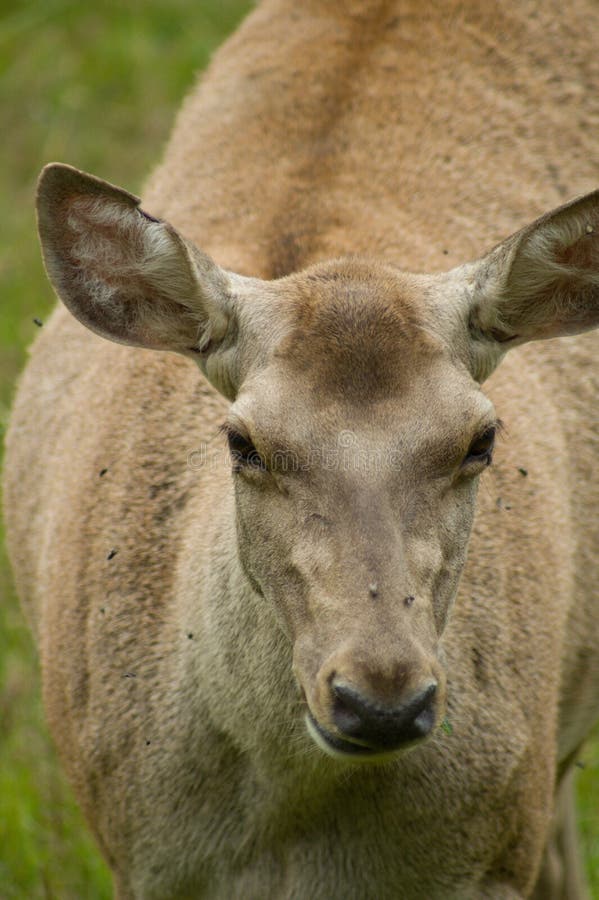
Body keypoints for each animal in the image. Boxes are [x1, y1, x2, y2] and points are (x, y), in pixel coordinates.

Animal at [4, 0, 599, 897]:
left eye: (481, 439)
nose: (380, 702)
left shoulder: (490, 854)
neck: (293, 826)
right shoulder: (139, 855)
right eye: (242, 441)